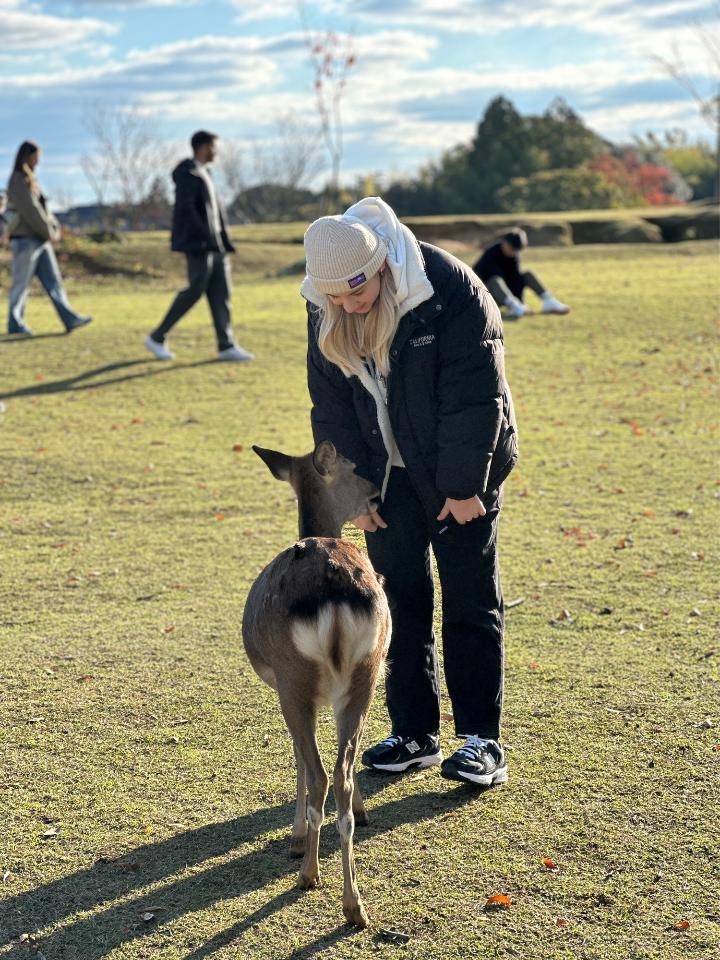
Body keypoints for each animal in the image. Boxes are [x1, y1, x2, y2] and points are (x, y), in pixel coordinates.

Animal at [240, 438, 388, 928]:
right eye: (354, 466)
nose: (377, 494)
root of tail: (334, 579)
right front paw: (363, 813)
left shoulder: (283, 690)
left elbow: (299, 761)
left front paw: (296, 838)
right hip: (368, 672)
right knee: (341, 776)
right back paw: (355, 904)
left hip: (295, 679)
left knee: (322, 775)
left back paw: (309, 873)